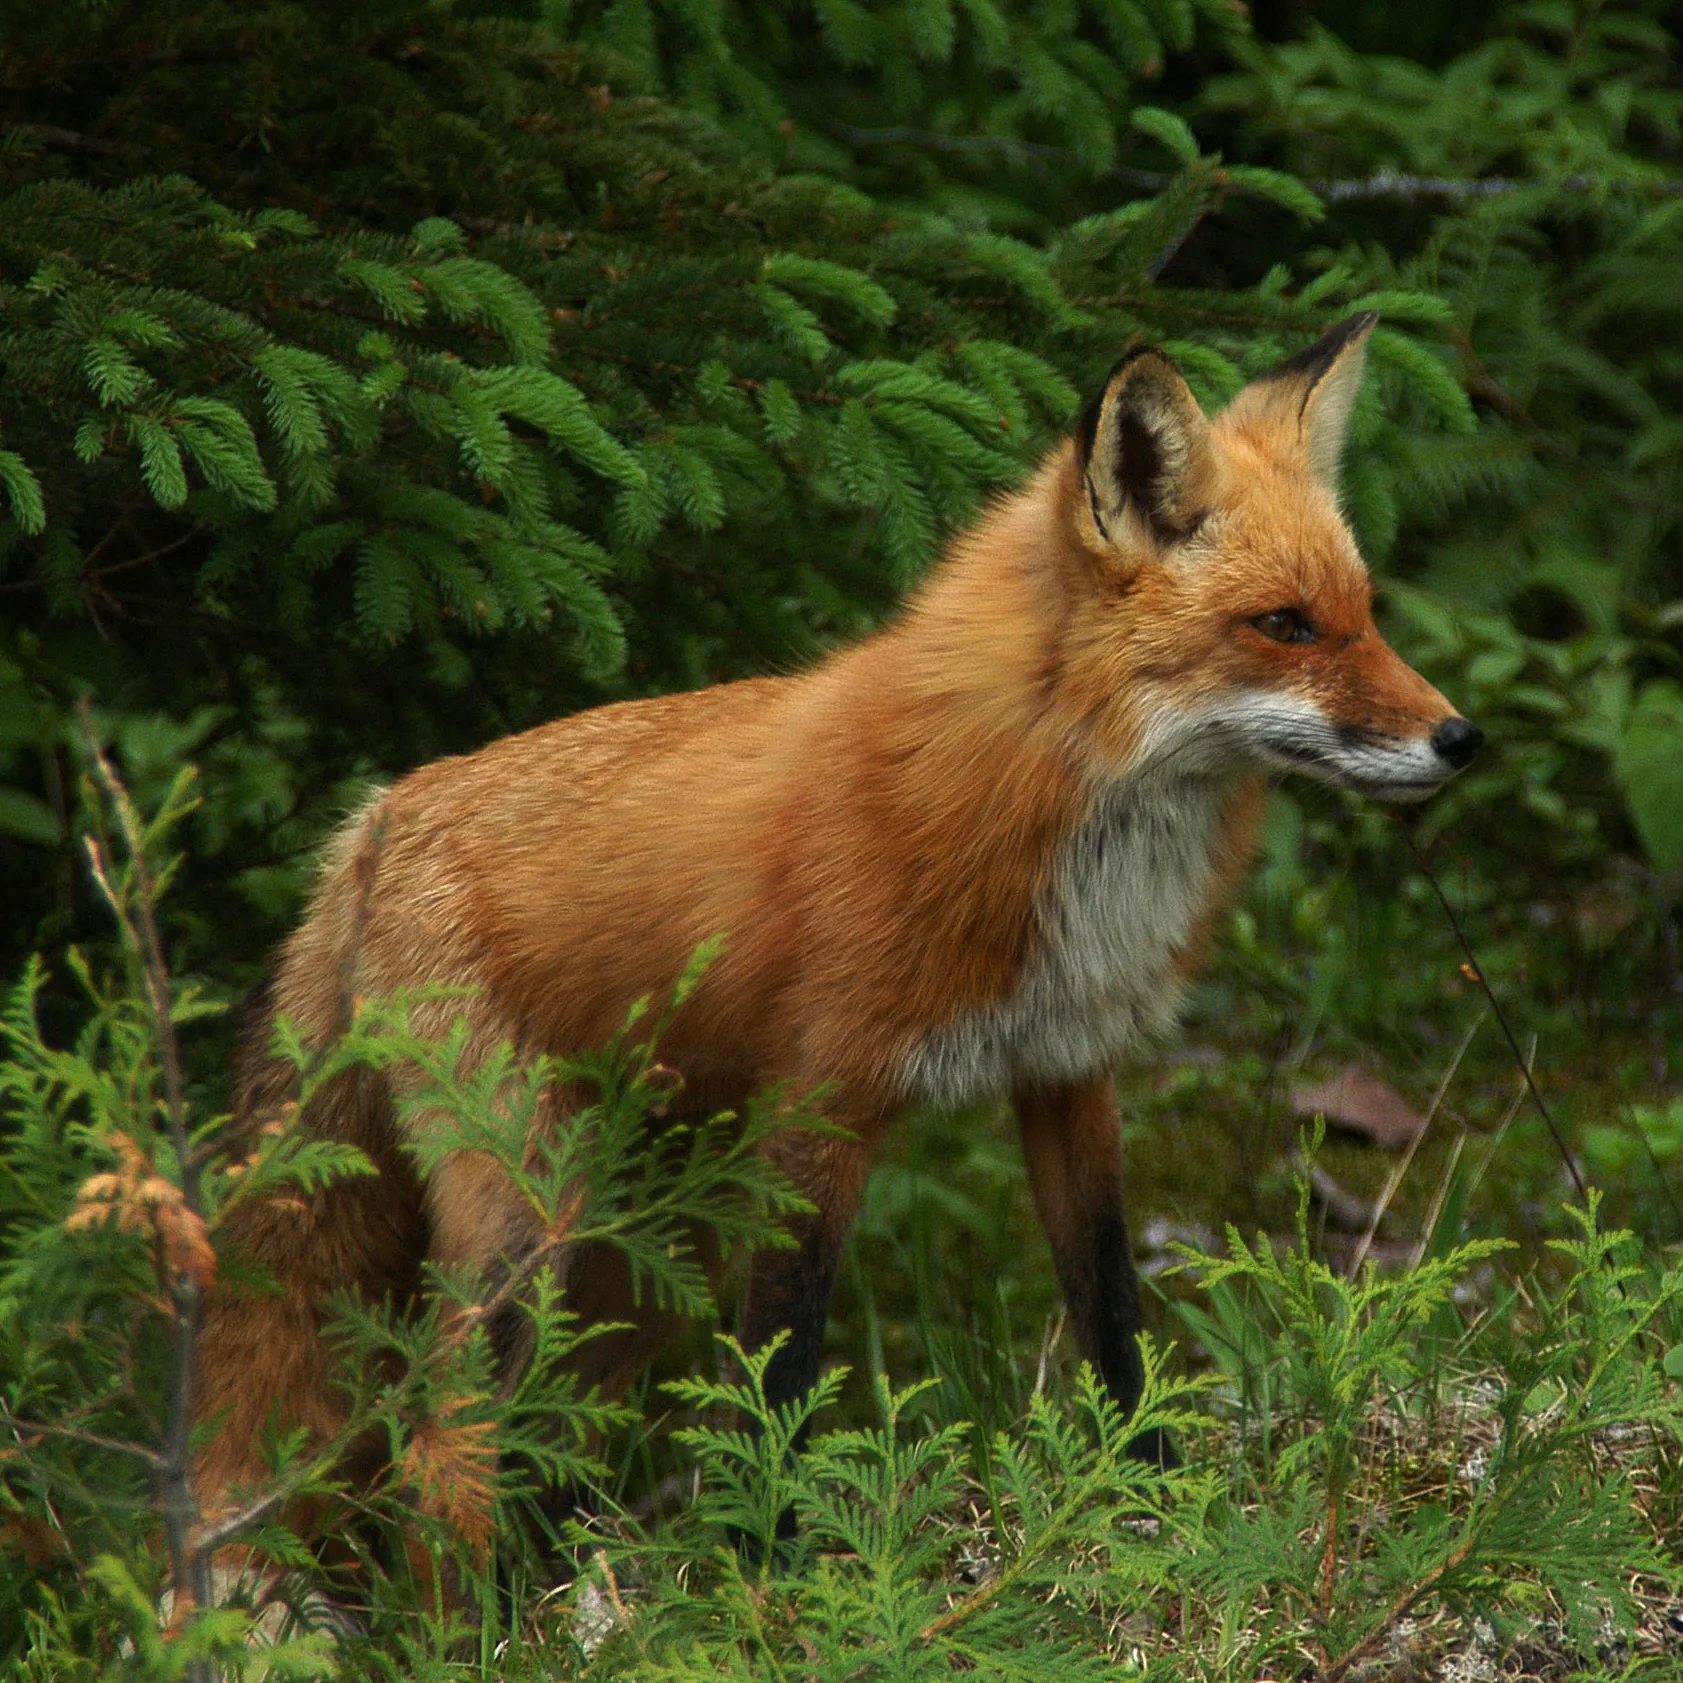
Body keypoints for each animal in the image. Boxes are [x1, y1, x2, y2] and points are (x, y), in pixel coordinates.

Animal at [194, 311, 1480, 1547]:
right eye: (1286, 626)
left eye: (1365, 616)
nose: (1461, 740)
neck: (1052, 804)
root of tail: (373, 820)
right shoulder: (825, 1103)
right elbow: (783, 1373)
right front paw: (765, 1570)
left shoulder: (1068, 1070)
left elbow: (1110, 1314)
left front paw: (1153, 1503)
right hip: (530, 1207)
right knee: (438, 1454)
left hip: (642, 1257)